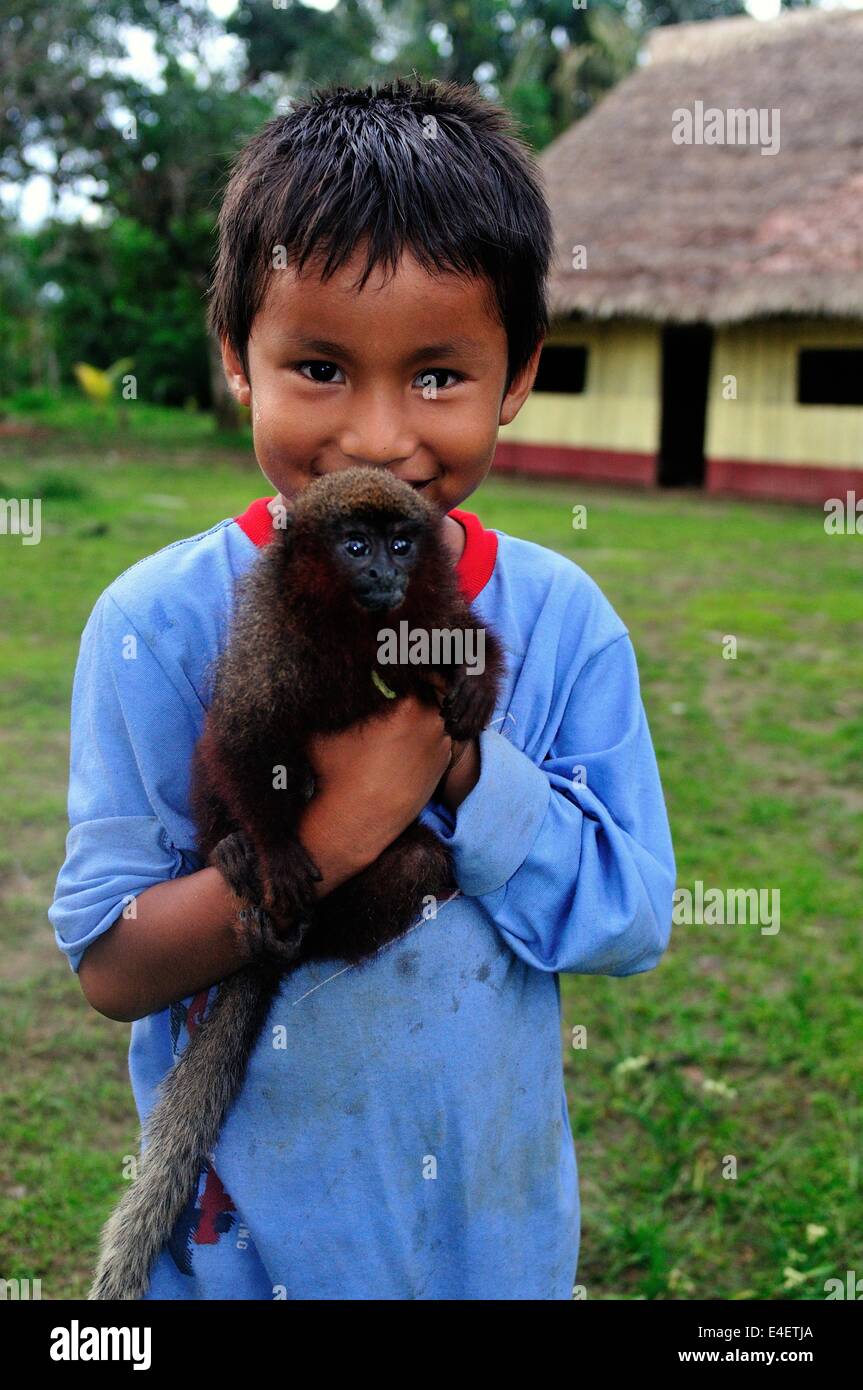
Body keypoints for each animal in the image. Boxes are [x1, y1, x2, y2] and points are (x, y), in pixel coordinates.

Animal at [88, 466, 505, 1299]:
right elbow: (243, 734)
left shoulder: (427, 609)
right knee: (220, 757)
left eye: (401, 544)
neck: (355, 628)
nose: (385, 574)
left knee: (421, 867)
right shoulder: (273, 647)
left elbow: (470, 639)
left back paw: (294, 938)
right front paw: (274, 850)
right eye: (355, 545)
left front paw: (475, 682)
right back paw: (238, 862)